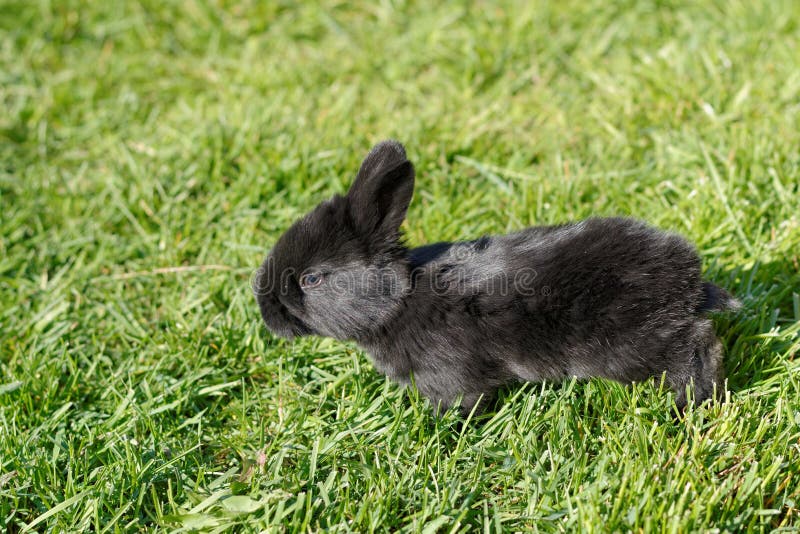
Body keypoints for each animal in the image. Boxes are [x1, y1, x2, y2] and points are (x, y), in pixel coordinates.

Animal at [253, 140, 739, 416]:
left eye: (311, 280)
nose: (265, 307)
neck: (396, 301)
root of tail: (689, 276)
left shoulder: (448, 373)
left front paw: (444, 426)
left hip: (633, 343)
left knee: (700, 344)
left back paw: (692, 405)